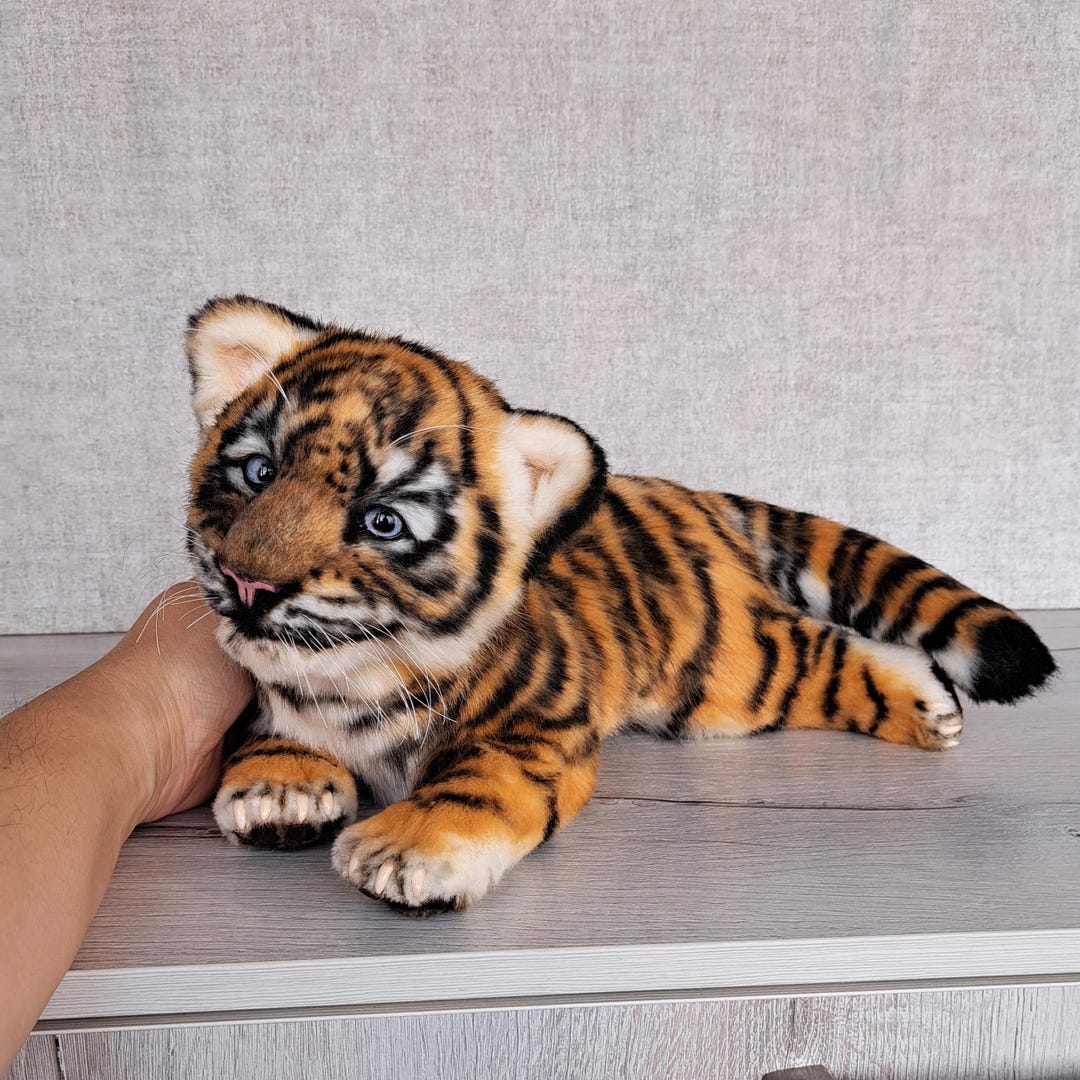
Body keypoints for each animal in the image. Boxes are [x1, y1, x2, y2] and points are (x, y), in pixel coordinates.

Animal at [185, 295, 1057, 914]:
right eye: (258, 472)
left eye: (381, 522)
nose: (250, 584)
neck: (356, 676)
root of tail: (692, 494)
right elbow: (270, 727)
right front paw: (280, 788)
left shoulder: (538, 723)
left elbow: (478, 779)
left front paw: (407, 853)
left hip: (729, 676)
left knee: (822, 648)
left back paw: (928, 705)